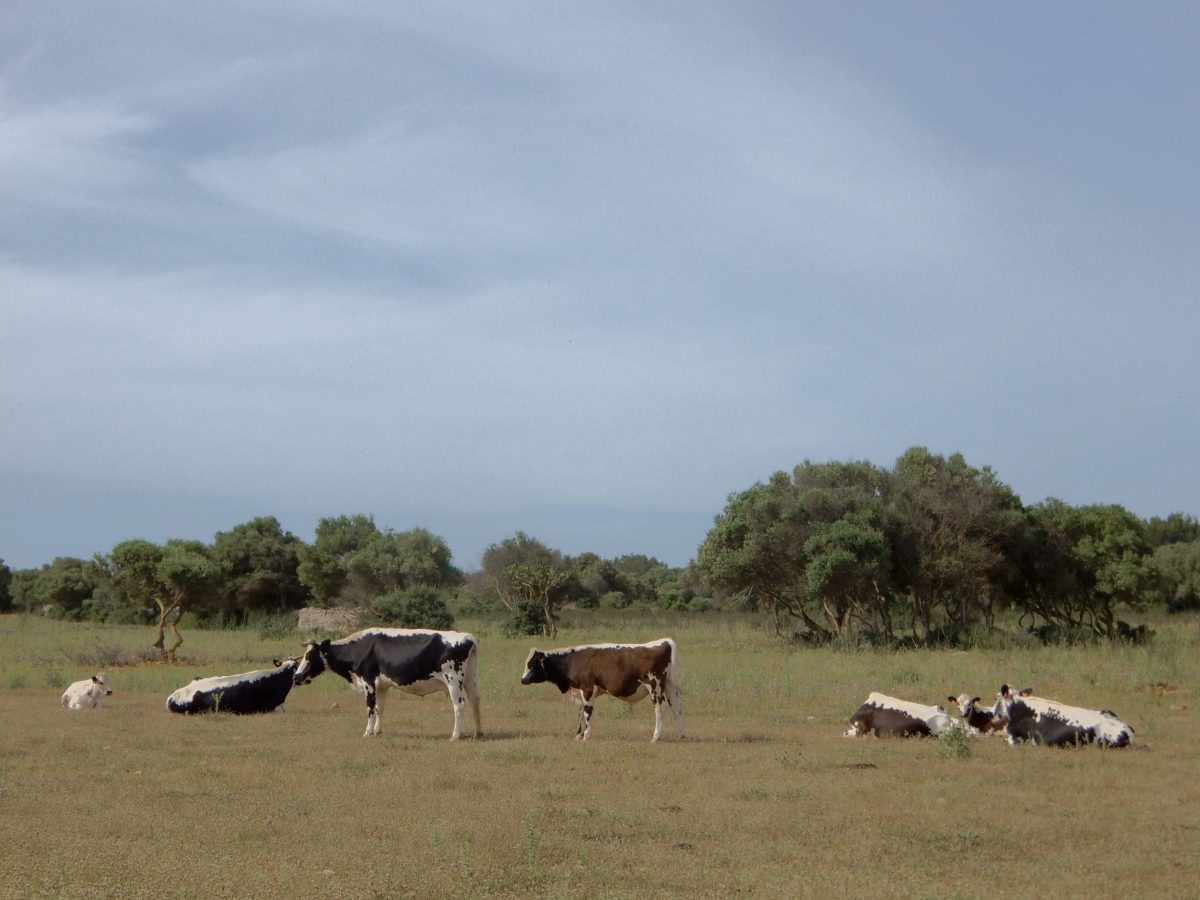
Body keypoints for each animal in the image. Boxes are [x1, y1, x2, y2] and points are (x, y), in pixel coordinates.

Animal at [293, 629, 482, 740]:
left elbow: (370, 708)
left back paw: (455, 735)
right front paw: (377, 731)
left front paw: (367, 732)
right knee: (475, 702)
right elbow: (379, 708)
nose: (296, 676)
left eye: (309, 656)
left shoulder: (368, 681)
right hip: (470, 679)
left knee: (460, 705)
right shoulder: (381, 686)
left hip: (453, 679)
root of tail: (467, 637)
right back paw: (478, 732)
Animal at [519, 638, 685, 742]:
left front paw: (586, 736)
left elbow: (587, 712)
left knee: (660, 709)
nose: (522, 679)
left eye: (532, 664)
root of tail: (664, 642)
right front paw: (579, 735)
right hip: (669, 686)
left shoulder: (587, 688)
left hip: (654, 687)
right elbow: (581, 713)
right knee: (676, 708)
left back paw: (656, 737)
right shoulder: (581, 691)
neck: (572, 661)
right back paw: (682, 735)